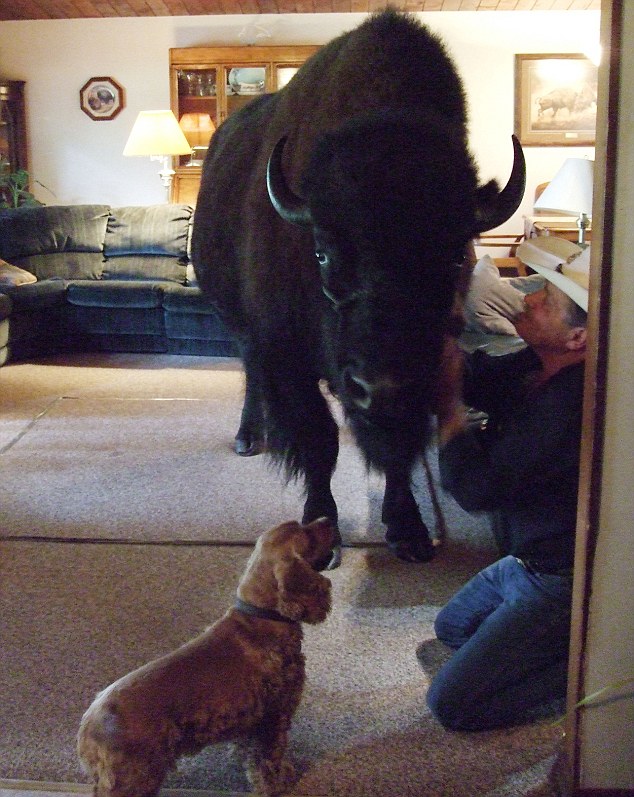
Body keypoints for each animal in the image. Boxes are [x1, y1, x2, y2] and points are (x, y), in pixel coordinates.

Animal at [192, 10, 525, 567]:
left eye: (454, 253)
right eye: (323, 252)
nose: (382, 388)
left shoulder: (427, 371)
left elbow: (401, 448)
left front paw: (409, 530)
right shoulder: (287, 356)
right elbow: (319, 438)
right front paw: (319, 532)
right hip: (240, 327)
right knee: (251, 373)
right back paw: (249, 438)